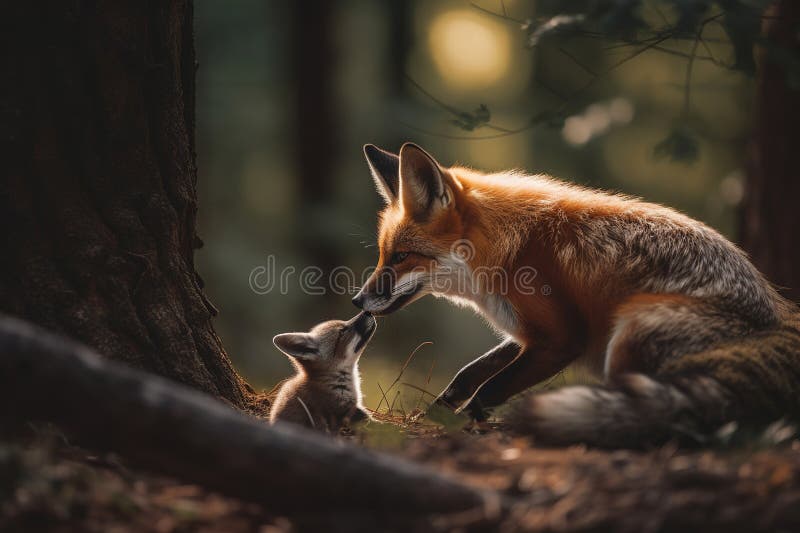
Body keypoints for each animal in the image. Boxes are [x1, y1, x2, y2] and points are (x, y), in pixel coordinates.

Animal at [352, 142, 800, 448]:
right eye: (382, 254)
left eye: (402, 256)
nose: (358, 301)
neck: (510, 250)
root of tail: (776, 320)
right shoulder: (525, 334)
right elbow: (467, 376)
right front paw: (431, 416)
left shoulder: (562, 339)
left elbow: (487, 392)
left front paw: (464, 427)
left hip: (632, 330)